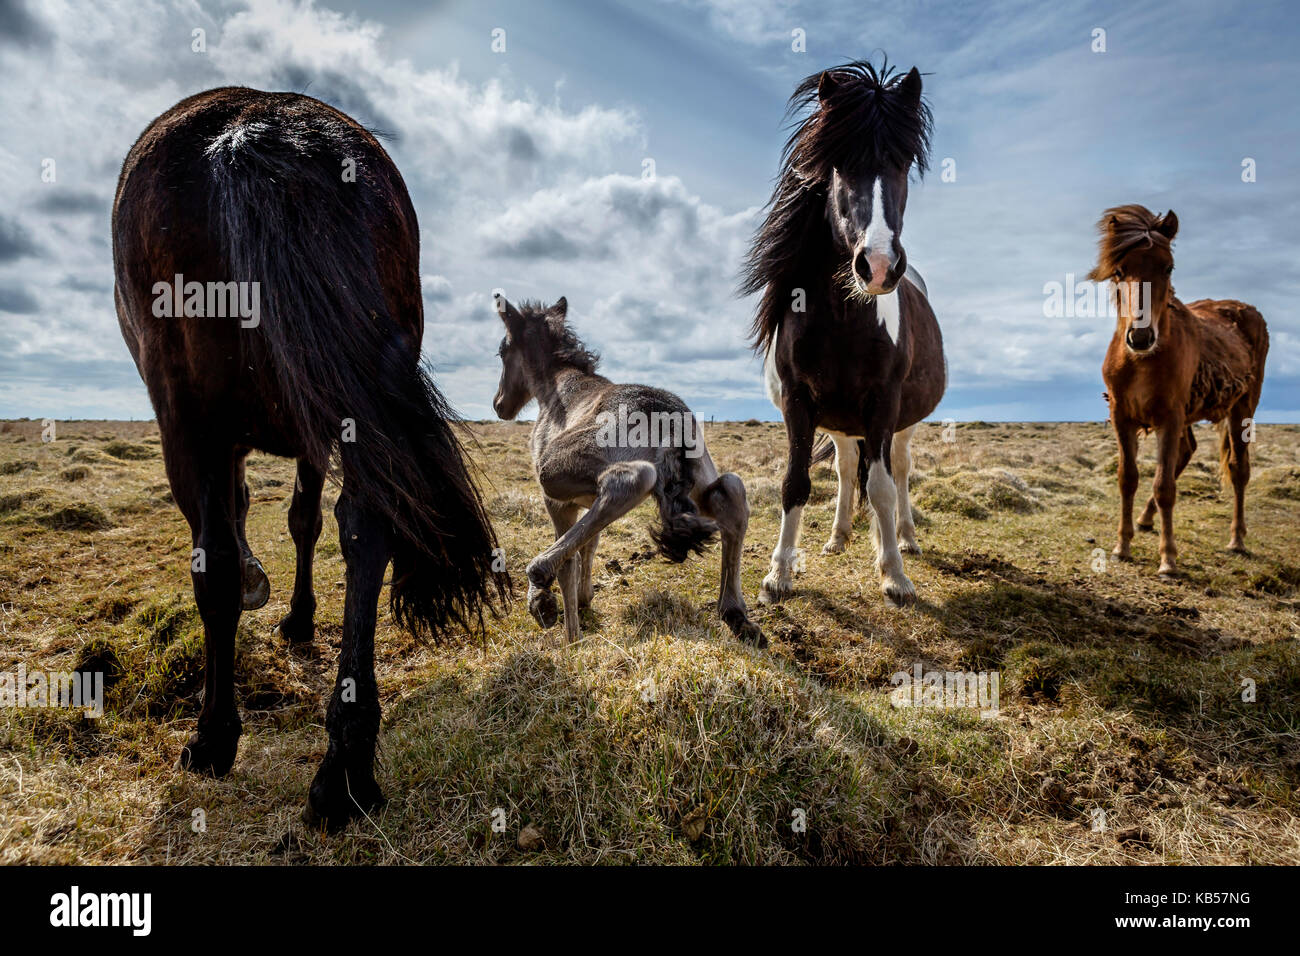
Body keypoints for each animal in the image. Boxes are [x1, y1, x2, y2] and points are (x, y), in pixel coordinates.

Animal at [112, 87, 506, 829]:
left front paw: (276, 607)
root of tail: (257, 125)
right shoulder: (313, 430)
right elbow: (306, 521)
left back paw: (215, 734)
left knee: (214, 559)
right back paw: (345, 764)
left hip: (186, 418)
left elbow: (252, 525)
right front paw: (292, 614)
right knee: (367, 531)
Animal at [491, 295, 765, 647]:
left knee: (632, 479)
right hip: (702, 484)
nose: (500, 405)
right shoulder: (585, 503)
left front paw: (567, 632)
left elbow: (571, 558)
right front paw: (583, 599)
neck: (558, 390)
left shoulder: (558, 501)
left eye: (502, 352)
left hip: (554, 472)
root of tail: (665, 417)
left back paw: (539, 578)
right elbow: (588, 542)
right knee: (731, 492)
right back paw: (736, 615)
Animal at [740, 61, 947, 608]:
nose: (878, 265)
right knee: (847, 466)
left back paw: (907, 539)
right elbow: (795, 483)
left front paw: (894, 576)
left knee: (898, 470)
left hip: (901, 422)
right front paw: (779, 574)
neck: (842, 318)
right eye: (838, 165)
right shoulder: (799, 401)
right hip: (839, 422)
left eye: (902, 163)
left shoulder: (884, 402)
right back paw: (838, 537)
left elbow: (883, 489)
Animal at [1089, 204, 1269, 576]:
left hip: (1242, 409)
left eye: (1167, 267)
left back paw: (1237, 539)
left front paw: (1168, 559)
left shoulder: (1169, 418)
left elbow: (1164, 486)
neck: (1140, 361)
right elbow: (1127, 478)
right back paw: (1145, 519)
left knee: (1238, 469)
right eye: (1120, 270)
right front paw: (1122, 545)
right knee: (1187, 450)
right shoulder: (1122, 417)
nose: (1140, 337)